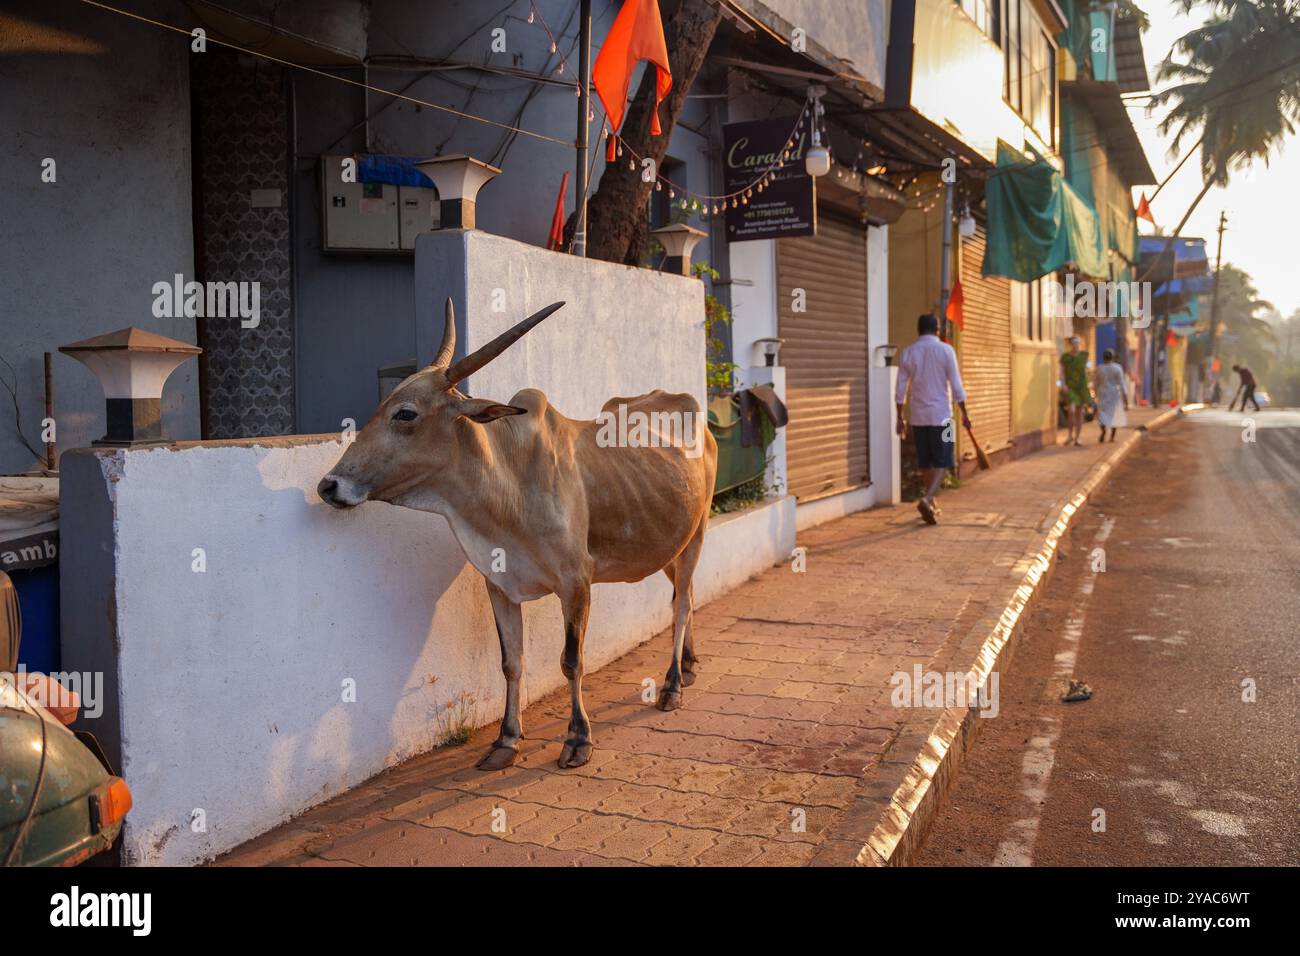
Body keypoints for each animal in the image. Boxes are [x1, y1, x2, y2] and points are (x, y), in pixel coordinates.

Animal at [317, 300, 717, 770]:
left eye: (406, 413)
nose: (329, 485)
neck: (508, 483)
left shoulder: (576, 583)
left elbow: (571, 661)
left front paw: (578, 738)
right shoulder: (499, 587)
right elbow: (512, 661)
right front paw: (506, 740)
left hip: (696, 534)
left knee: (682, 604)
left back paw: (672, 685)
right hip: (671, 544)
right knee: (683, 599)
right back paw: (689, 665)